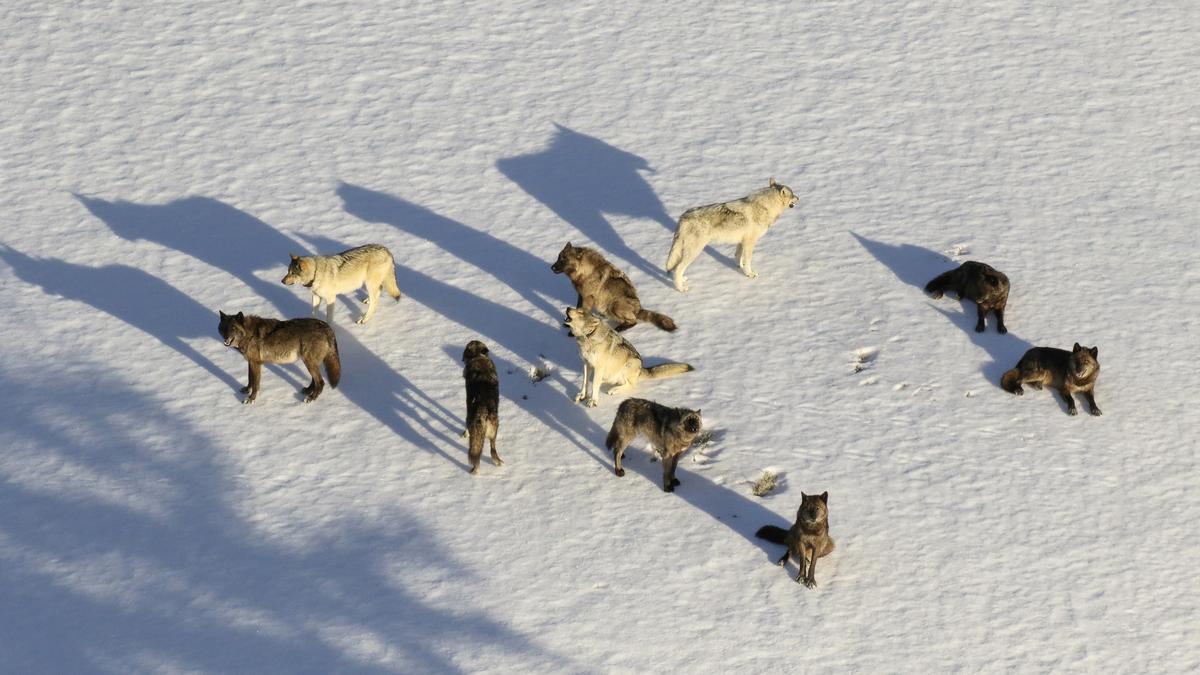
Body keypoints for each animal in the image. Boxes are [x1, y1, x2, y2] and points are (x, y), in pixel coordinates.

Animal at [461, 340, 503, 474]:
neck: (479, 356)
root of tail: (485, 411)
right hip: (494, 431)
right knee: (492, 449)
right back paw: (497, 462)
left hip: (475, 429)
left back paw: (474, 470)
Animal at [563, 307, 693, 407]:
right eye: (576, 308)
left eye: (580, 312)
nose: (568, 308)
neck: (588, 337)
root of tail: (642, 368)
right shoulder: (586, 363)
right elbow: (584, 382)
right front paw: (582, 396)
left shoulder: (599, 367)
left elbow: (595, 385)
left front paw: (593, 401)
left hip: (630, 363)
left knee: (631, 385)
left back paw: (613, 390)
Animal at [666, 178, 798, 292]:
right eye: (793, 195)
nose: (799, 198)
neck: (765, 206)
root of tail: (683, 218)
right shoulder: (750, 242)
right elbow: (748, 261)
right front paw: (750, 274)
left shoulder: (741, 242)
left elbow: (738, 257)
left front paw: (739, 268)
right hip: (694, 251)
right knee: (677, 269)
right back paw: (681, 289)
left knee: (675, 268)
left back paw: (682, 280)